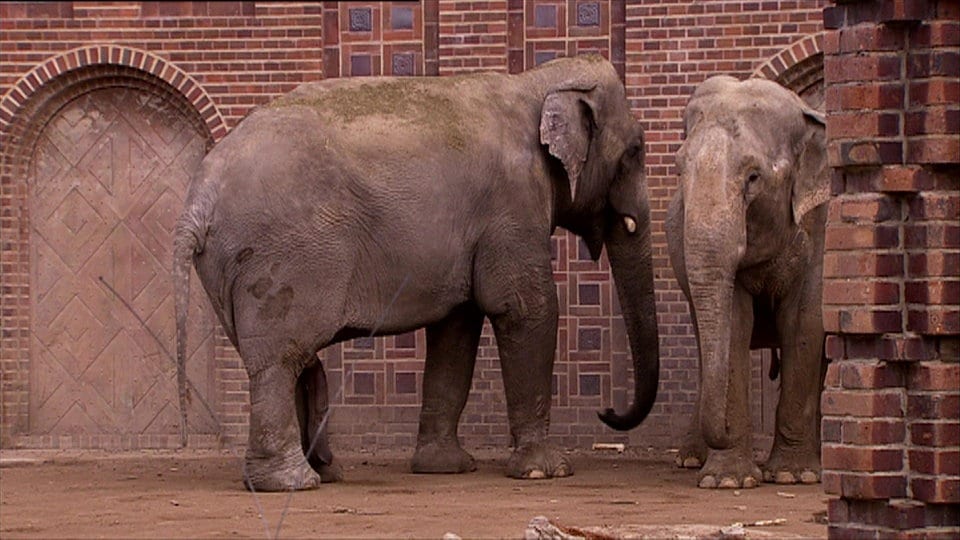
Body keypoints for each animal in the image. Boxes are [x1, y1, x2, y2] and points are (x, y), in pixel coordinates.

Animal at [173, 55, 661, 492]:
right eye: (635, 150)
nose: (607, 411)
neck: (533, 81)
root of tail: (199, 196)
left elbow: (456, 329)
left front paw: (445, 468)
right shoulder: (513, 202)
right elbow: (525, 309)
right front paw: (546, 472)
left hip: (226, 271)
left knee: (289, 358)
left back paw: (321, 473)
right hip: (282, 259)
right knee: (283, 358)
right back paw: (293, 483)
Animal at [665, 75, 829, 489]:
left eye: (754, 177)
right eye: (679, 171)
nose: (723, 431)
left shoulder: (823, 222)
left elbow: (804, 321)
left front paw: (793, 476)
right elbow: (735, 325)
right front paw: (727, 481)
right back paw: (690, 459)